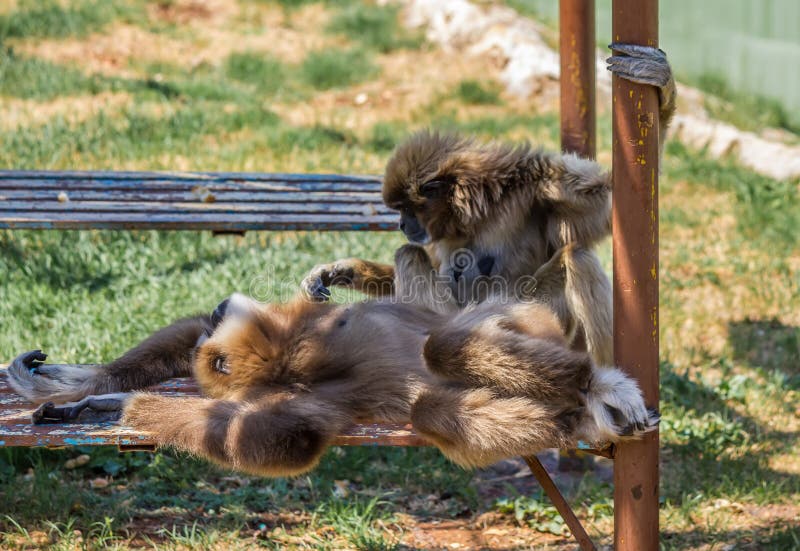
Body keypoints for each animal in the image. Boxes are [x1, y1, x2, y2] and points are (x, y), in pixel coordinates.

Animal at [8, 291, 659, 476]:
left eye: (223, 319)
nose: (221, 308)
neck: (297, 354)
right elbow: (285, 437)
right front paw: (98, 398)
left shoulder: (316, 318)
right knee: (434, 409)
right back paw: (577, 412)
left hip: (529, 314)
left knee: (444, 343)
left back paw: (597, 387)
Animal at [301, 43, 677, 366]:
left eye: (407, 210)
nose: (402, 224)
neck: (477, 213)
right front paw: (340, 269)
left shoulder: (544, 185)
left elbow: (612, 200)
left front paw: (660, 84)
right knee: (410, 255)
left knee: (577, 258)